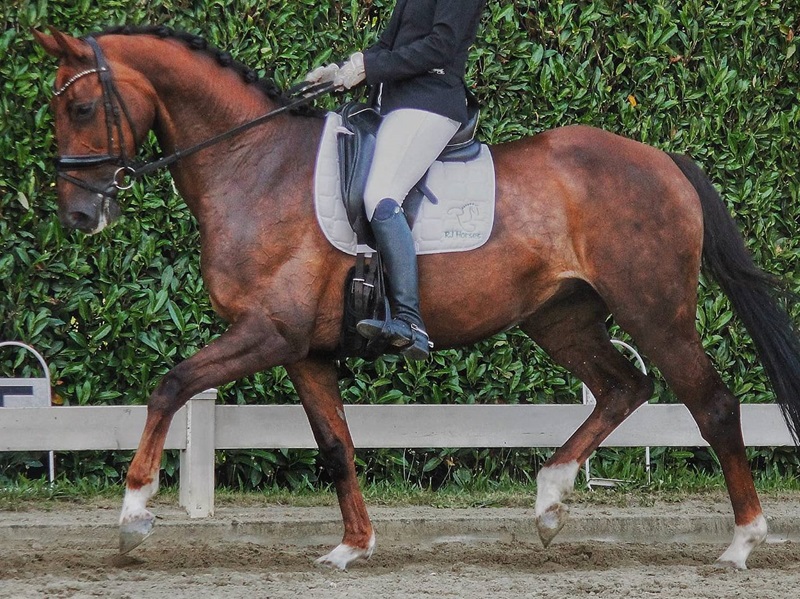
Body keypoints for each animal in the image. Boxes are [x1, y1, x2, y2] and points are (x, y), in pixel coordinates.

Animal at [33, 26, 800, 570]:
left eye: (81, 105)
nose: (78, 215)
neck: (254, 165)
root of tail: (661, 158)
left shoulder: (267, 332)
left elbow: (171, 384)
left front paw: (133, 514)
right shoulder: (304, 349)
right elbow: (336, 444)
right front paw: (352, 545)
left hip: (654, 309)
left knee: (711, 403)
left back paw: (742, 541)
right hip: (561, 316)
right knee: (623, 387)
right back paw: (551, 499)